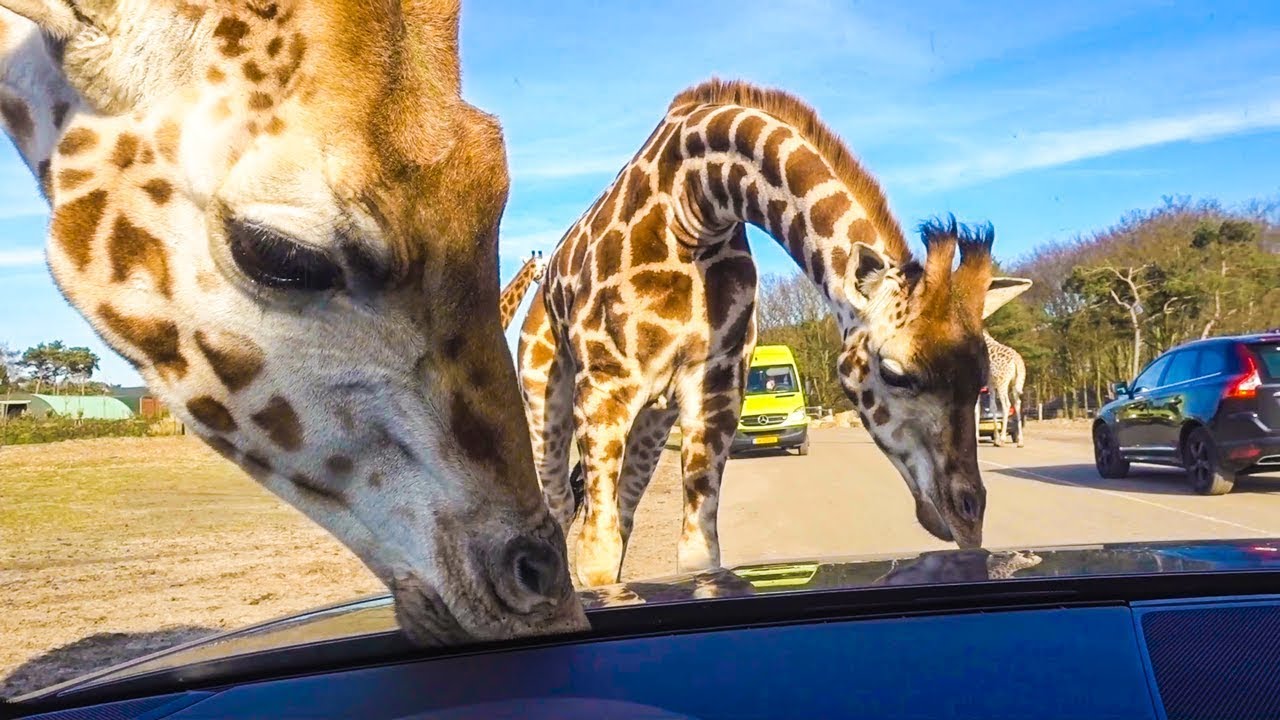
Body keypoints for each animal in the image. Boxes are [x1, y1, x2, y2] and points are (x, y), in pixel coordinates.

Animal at [518, 77, 1033, 587]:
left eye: (979, 378)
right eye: (895, 373)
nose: (969, 520)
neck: (695, 205)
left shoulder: (715, 391)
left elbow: (699, 552)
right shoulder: (605, 385)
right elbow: (596, 555)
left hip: (655, 415)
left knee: (623, 514)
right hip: (547, 391)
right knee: (560, 506)